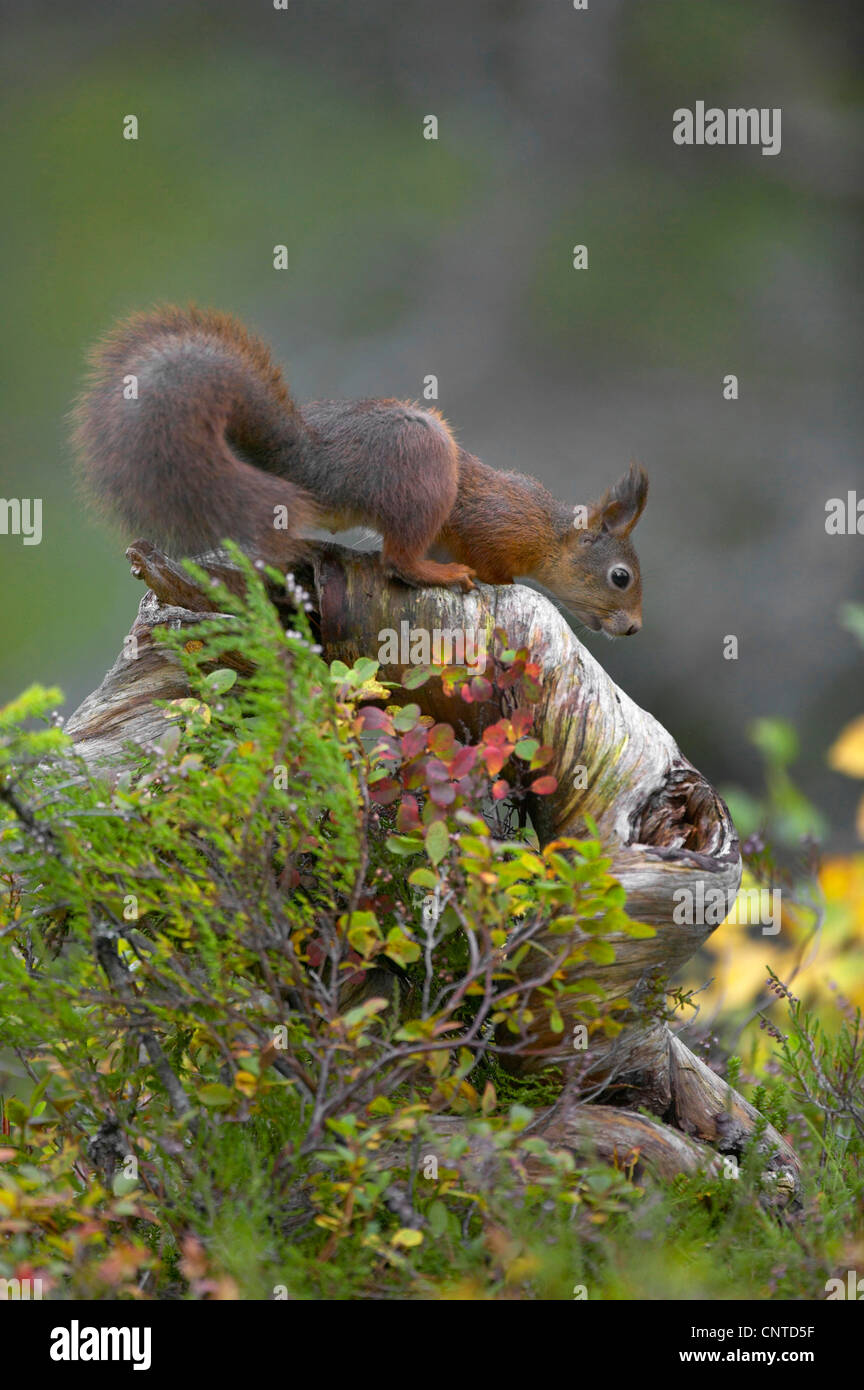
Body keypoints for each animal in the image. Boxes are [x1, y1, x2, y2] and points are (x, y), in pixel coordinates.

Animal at [73, 306, 648, 636]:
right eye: (620, 577)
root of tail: (308, 458)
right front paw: (491, 580)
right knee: (398, 561)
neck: (548, 532)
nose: (635, 629)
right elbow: (489, 565)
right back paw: (440, 574)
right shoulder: (495, 525)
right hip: (419, 466)